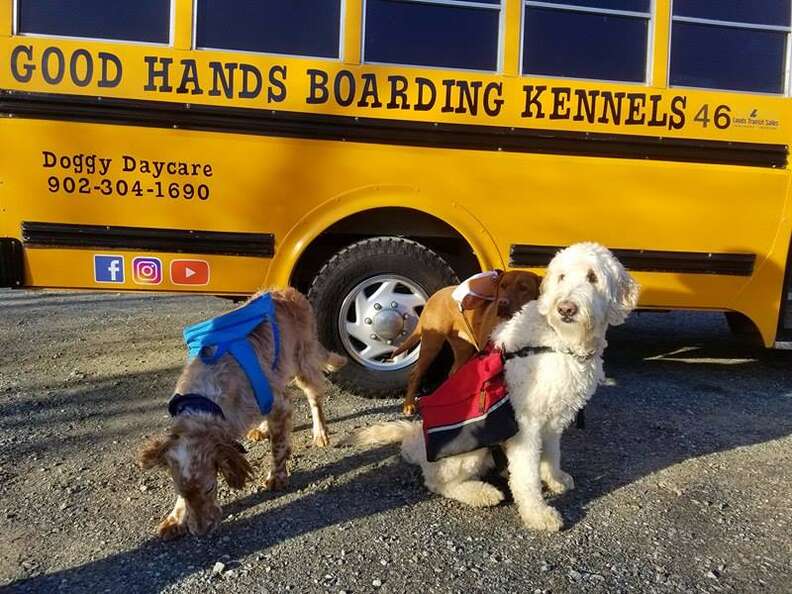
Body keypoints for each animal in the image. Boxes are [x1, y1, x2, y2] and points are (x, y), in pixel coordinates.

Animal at [137, 286, 346, 536]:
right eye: (182, 493)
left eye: (210, 488)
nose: (201, 531)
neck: (206, 399)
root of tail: (288, 290)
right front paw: (175, 518)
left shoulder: (280, 404)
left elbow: (278, 447)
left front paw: (277, 477)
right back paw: (263, 428)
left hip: (304, 364)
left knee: (314, 398)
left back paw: (320, 432)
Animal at [392, 270, 540, 414]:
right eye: (503, 286)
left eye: (523, 288)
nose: (502, 302)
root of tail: (434, 295)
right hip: (432, 344)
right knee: (414, 374)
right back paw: (409, 405)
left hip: (463, 351)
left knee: (453, 373)